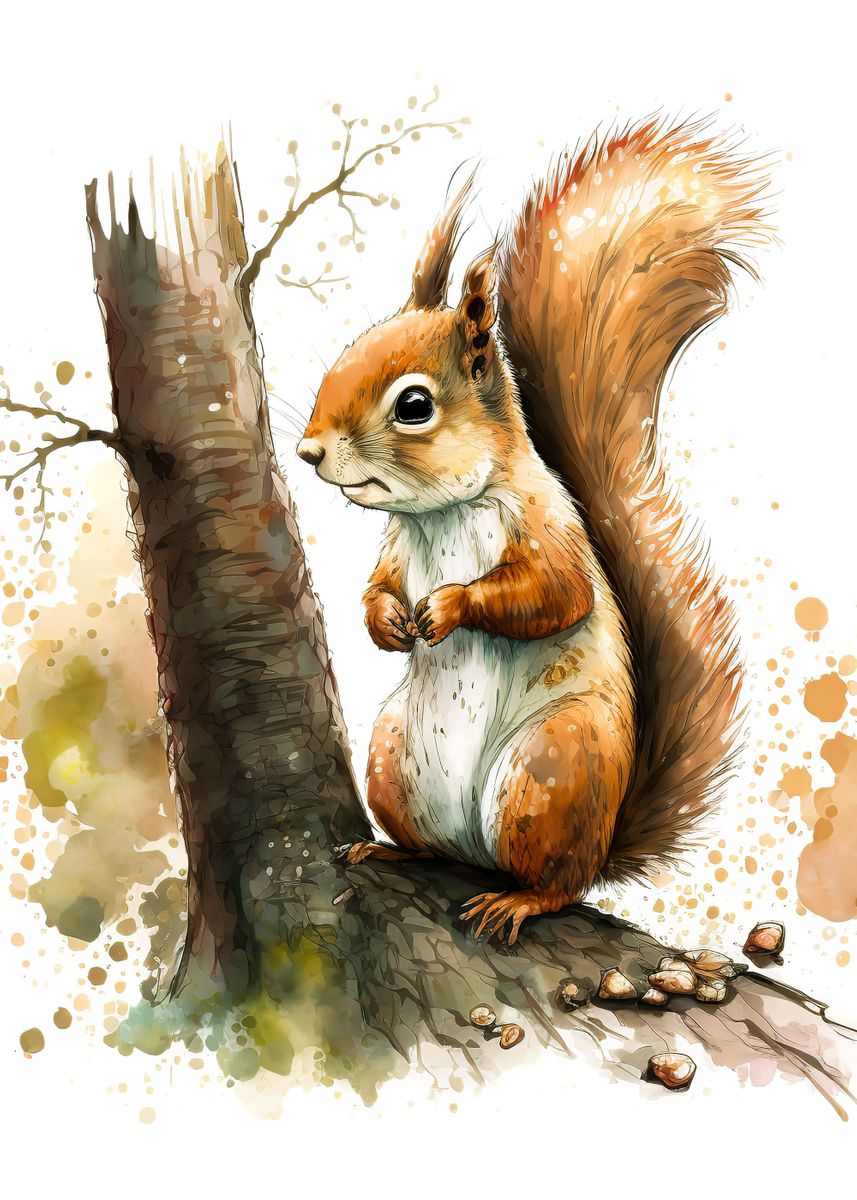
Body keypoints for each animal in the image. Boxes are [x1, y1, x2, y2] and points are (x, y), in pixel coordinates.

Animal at [297, 117, 769, 943]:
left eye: (413, 405)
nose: (309, 451)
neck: (444, 511)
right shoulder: (395, 549)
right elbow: (377, 587)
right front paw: (388, 623)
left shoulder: (549, 531)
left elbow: (553, 595)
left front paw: (448, 607)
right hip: (393, 756)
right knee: (434, 845)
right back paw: (393, 851)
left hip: (552, 771)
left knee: (558, 879)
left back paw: (520, 899)